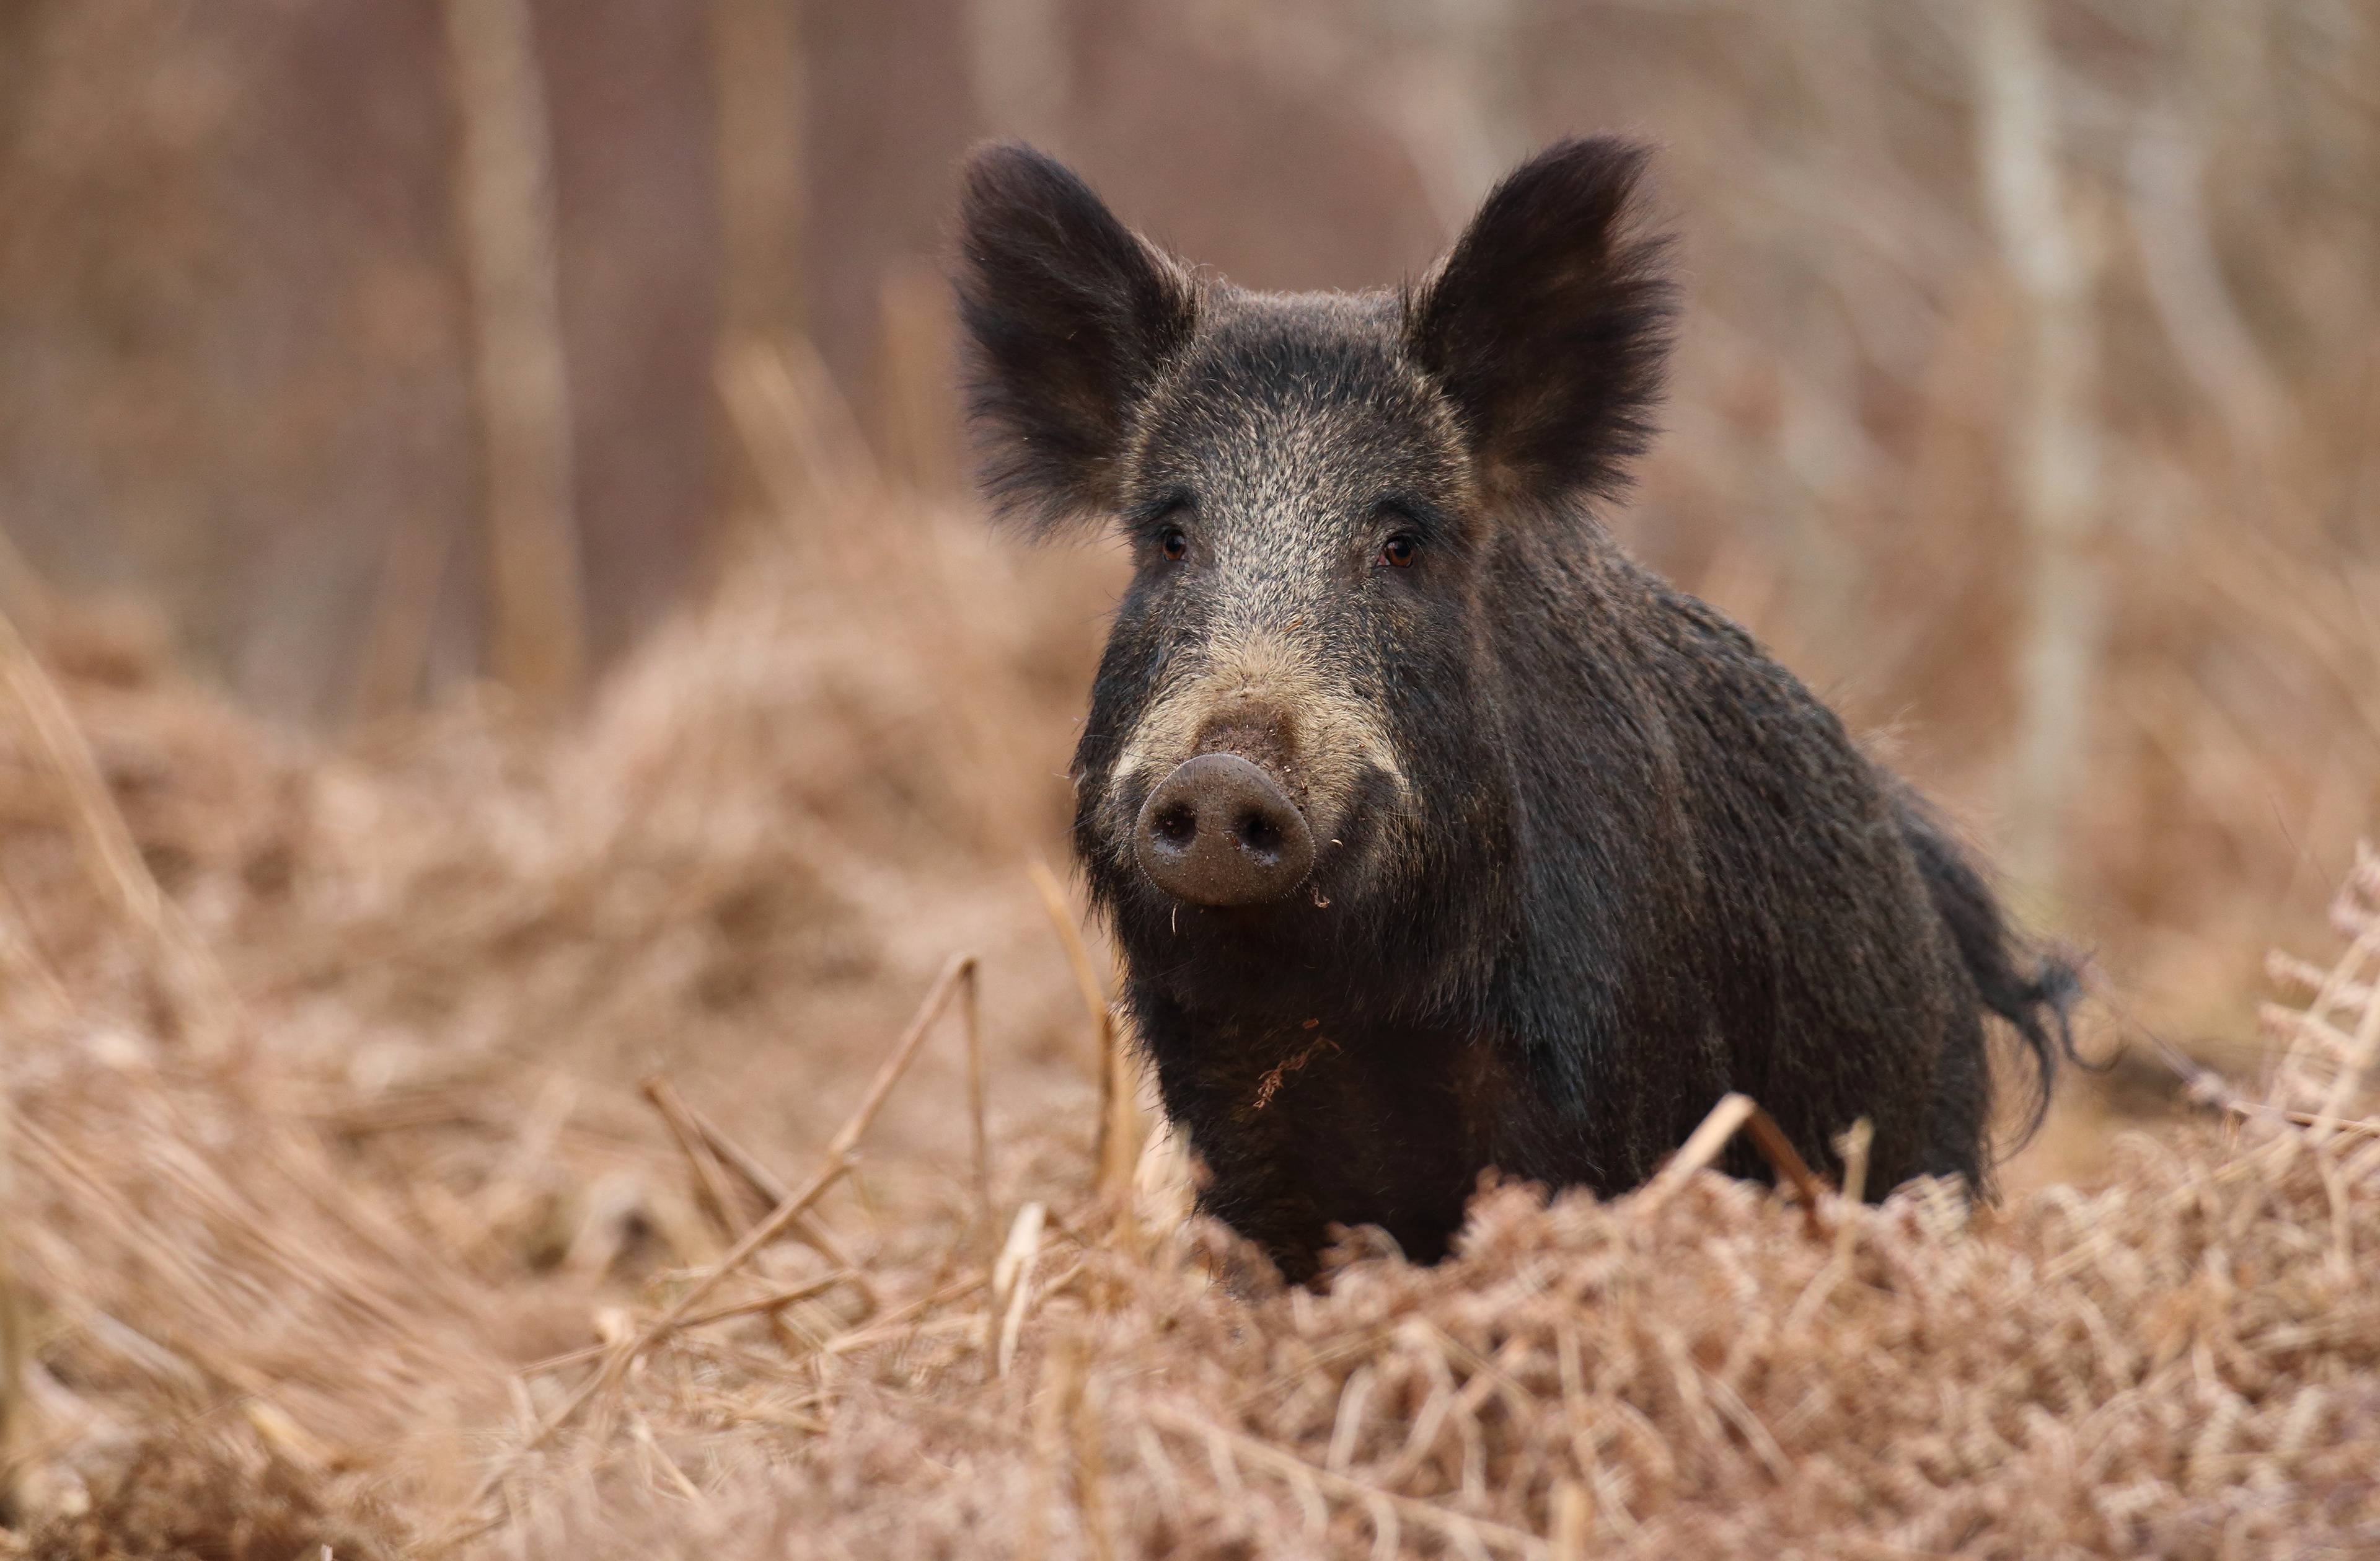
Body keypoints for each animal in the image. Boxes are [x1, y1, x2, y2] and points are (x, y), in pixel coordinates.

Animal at [953, 137, 2080, 1282]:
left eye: (1402, 542)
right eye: (1171, 538)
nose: (1225, 776)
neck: (1351, 997)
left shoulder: (1598, 1090)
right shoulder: (1233, 1127)